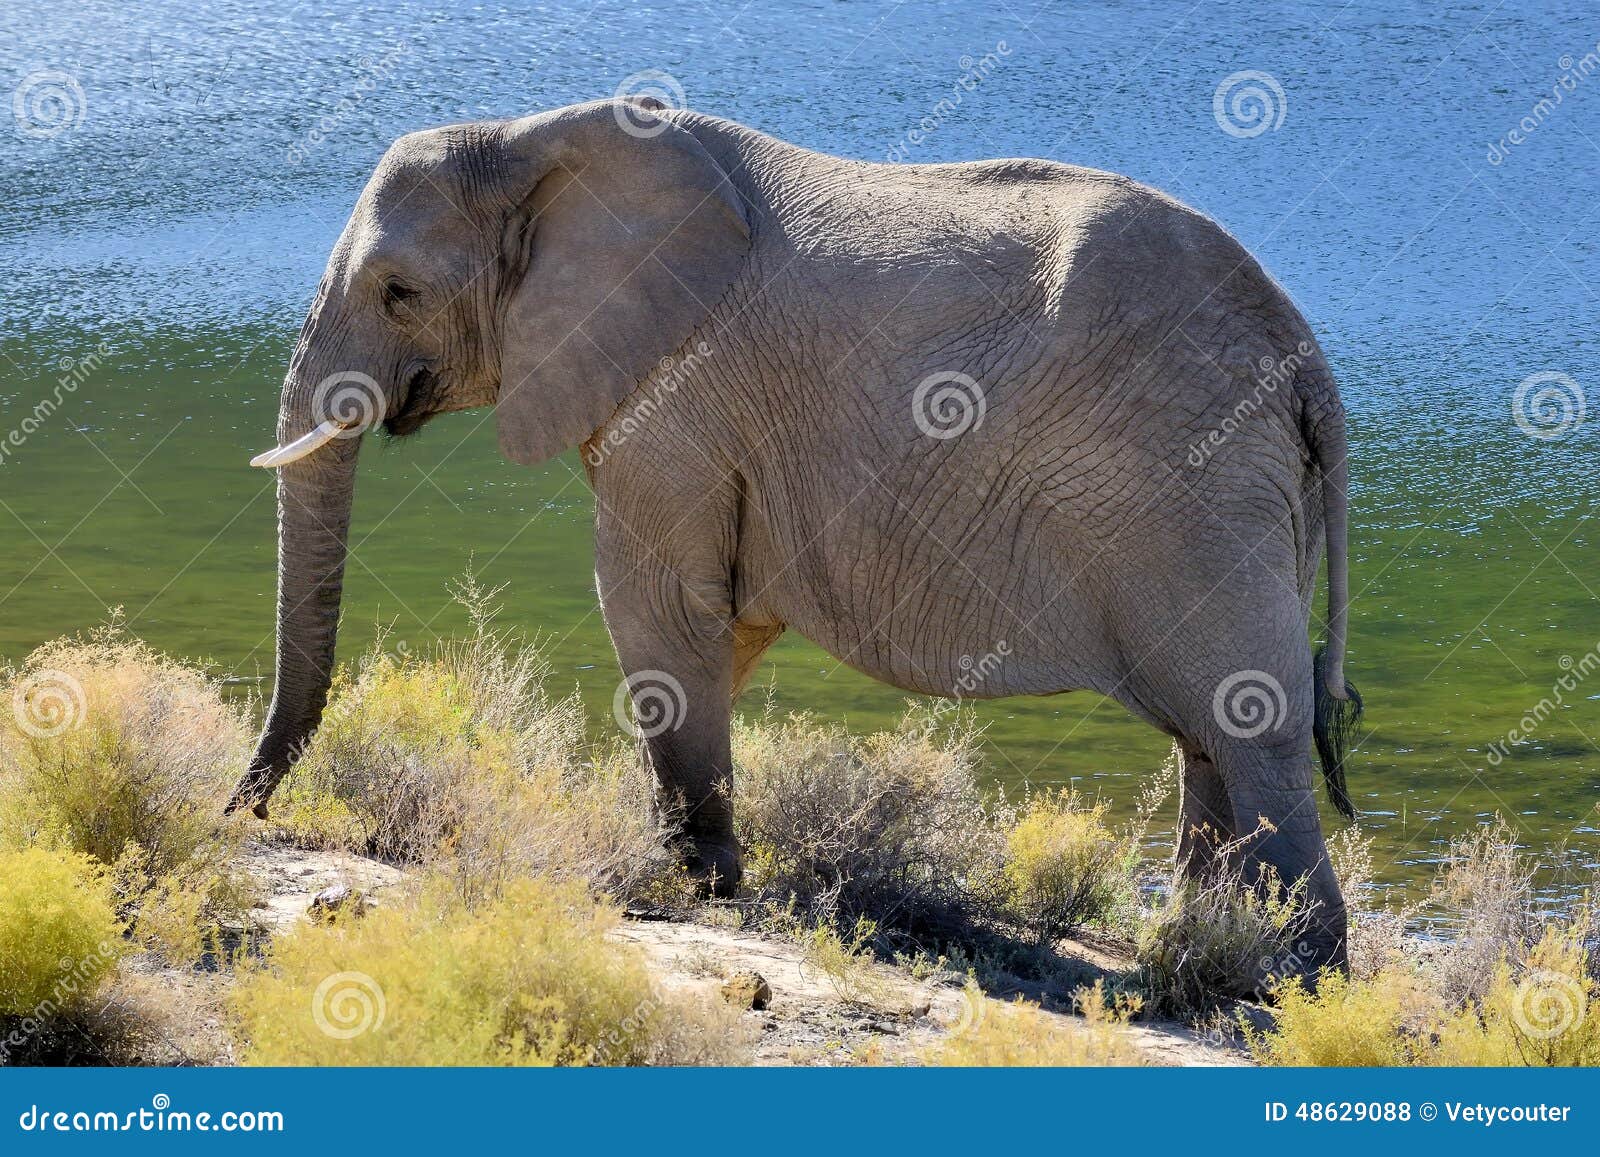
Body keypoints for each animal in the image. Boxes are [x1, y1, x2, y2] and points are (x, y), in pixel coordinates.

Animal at [227, 97, 1362, 976]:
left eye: (399, 292)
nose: (244, 811)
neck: (532, 137)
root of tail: (1310, 360)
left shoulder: (678, 387)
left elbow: (657, 604)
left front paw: (693, 878)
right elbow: (718, 626)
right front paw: (689, 855)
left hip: (1196, 482)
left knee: (1249, 717)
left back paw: (1289, 974)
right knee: (1207, 732)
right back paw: (1197, 948)